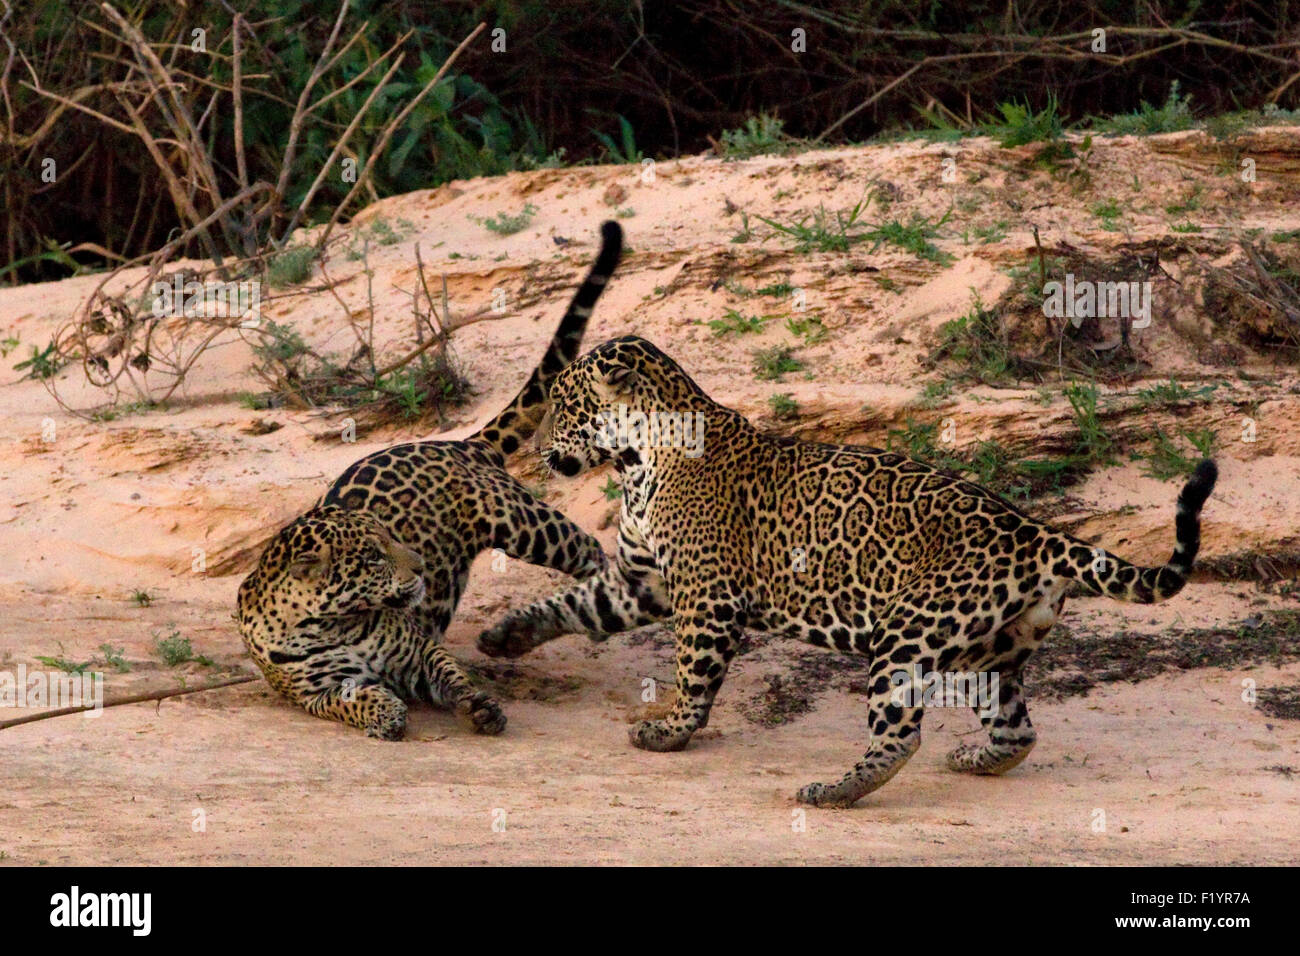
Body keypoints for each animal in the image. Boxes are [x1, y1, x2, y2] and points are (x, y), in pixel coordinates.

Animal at [236, 221, 623, 739]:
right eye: (373, 558)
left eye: (388, 542)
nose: (420, 569)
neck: (325, 625)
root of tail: (456, 444)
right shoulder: (312, 695)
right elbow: (350, 701)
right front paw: (383, 713)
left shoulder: (418, 649)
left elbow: (450, 673)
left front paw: (478, 706)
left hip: (521, 522)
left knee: (587, 548)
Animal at [476, 335, 1218, 807]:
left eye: (565, 408)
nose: (538, 453)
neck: (636, 462)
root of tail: (1036, 532)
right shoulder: (645, 582)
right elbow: (578, 605)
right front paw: (504, 636)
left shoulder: (707, 595)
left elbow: (692, 672)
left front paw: (670, 731)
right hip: (986, 651)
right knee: (1016, 729)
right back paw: (973, 760)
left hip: (909, 634)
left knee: (900, 735)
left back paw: (835, 791)